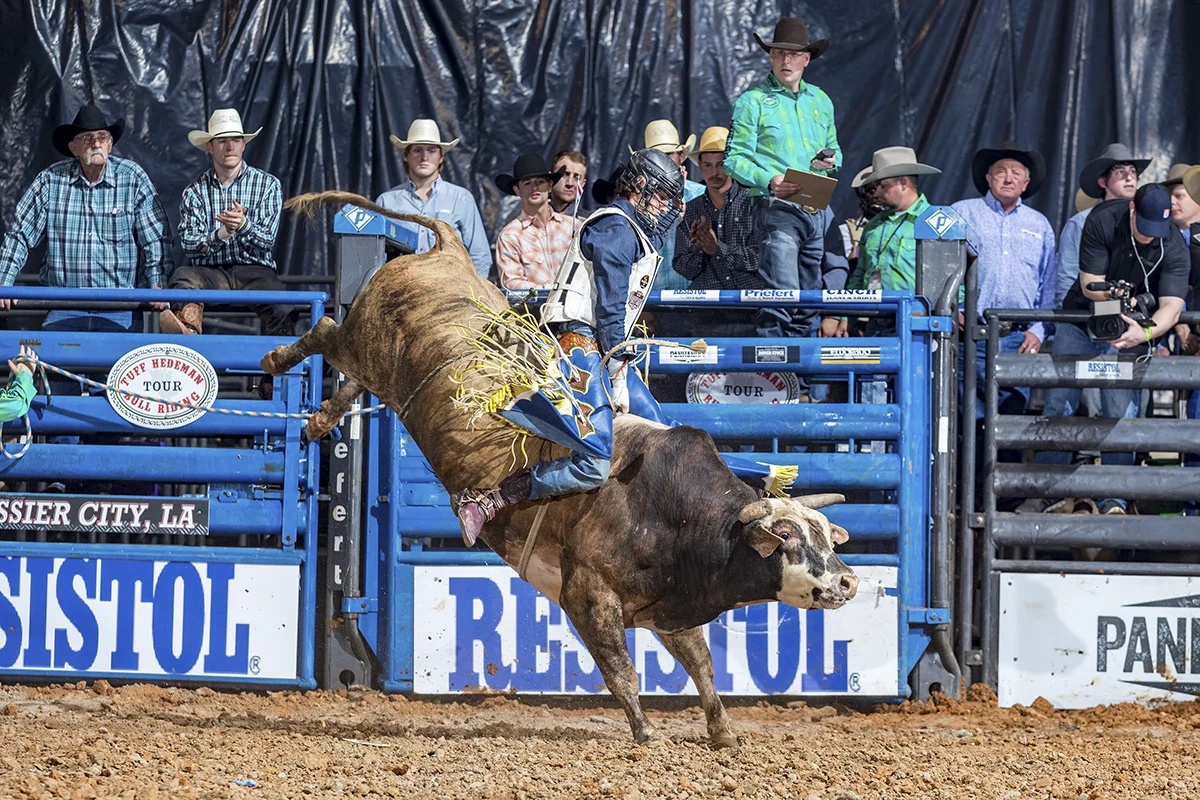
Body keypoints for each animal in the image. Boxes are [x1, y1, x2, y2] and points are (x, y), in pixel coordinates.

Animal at [265, 192, 859, 748]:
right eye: (789, 539)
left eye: (826, 538)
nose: (849, 580)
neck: (678, 517)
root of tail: (446, 250)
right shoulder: (587, 597)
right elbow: (621, 671)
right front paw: (645, 733)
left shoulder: (668, 606)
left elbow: (701, 664)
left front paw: (723, 732)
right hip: (363, 341)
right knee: (326, 328)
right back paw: (277, 362)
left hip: (377, 369)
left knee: (351, 378)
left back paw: (320, 420)